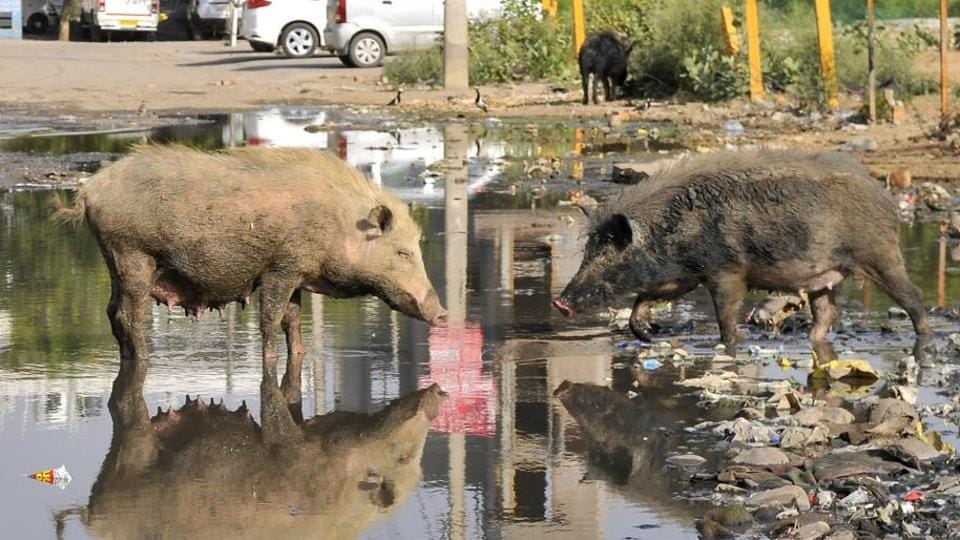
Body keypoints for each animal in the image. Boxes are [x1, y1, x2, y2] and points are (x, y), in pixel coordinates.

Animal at [57, 145, 446, 439]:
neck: (337, 224)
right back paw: (144, 358)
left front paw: (300, 353)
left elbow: (293, 320)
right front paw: (269, 359)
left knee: (111, 311)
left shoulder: (296, 275)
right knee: (128, 314)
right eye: (403, 253)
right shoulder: (281, 267)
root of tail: (89, 191)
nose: (442, 313)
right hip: (132, 254)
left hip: (114, 261)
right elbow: (271, 318)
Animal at [552, 150, 931, 359]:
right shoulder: (686, 274)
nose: (559, 302)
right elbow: (646, 297)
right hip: (826, 278)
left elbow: (726, 317)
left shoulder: (726, 271)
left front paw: (730, 344)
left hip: (879, 254)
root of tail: (885, 199)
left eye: (606, 255)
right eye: (588, 251)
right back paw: (809, 340)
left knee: (913, 299)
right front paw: (646, 333)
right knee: (826, 315)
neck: (671, 231)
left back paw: (924, 335)